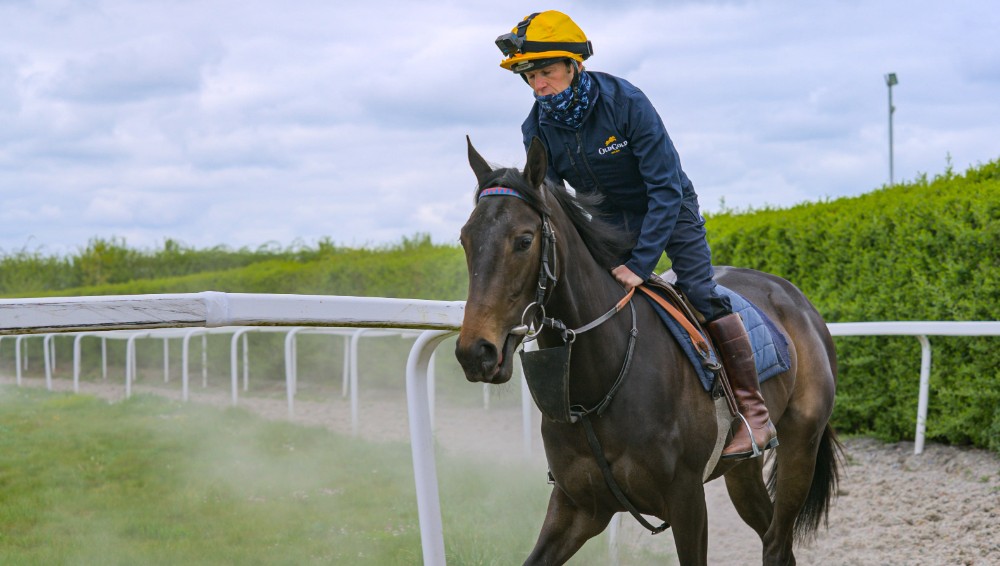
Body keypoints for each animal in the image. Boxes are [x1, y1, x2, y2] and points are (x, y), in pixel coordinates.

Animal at [455, 137, 841, 565]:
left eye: (523, 241)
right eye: (465, 238)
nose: (476, 351)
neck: (600, 384)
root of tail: (796, 299)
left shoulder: (687, 500)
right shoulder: (579, 505)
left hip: (801, 443)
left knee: (777, 541)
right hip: (741, 470)